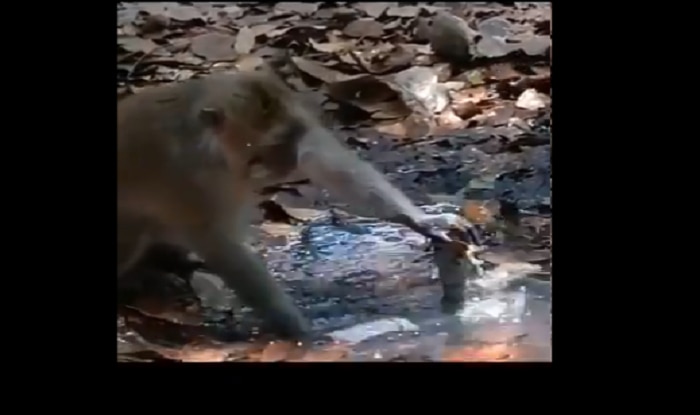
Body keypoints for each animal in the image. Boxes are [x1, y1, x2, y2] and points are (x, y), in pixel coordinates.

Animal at [118, 68, 476, 340]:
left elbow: (324, 158)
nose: (290, 163)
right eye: (272, 144)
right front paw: (301, 330)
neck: (215, 151)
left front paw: (424, 221)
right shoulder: (187, 177)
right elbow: (220, 244)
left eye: (294, 136)